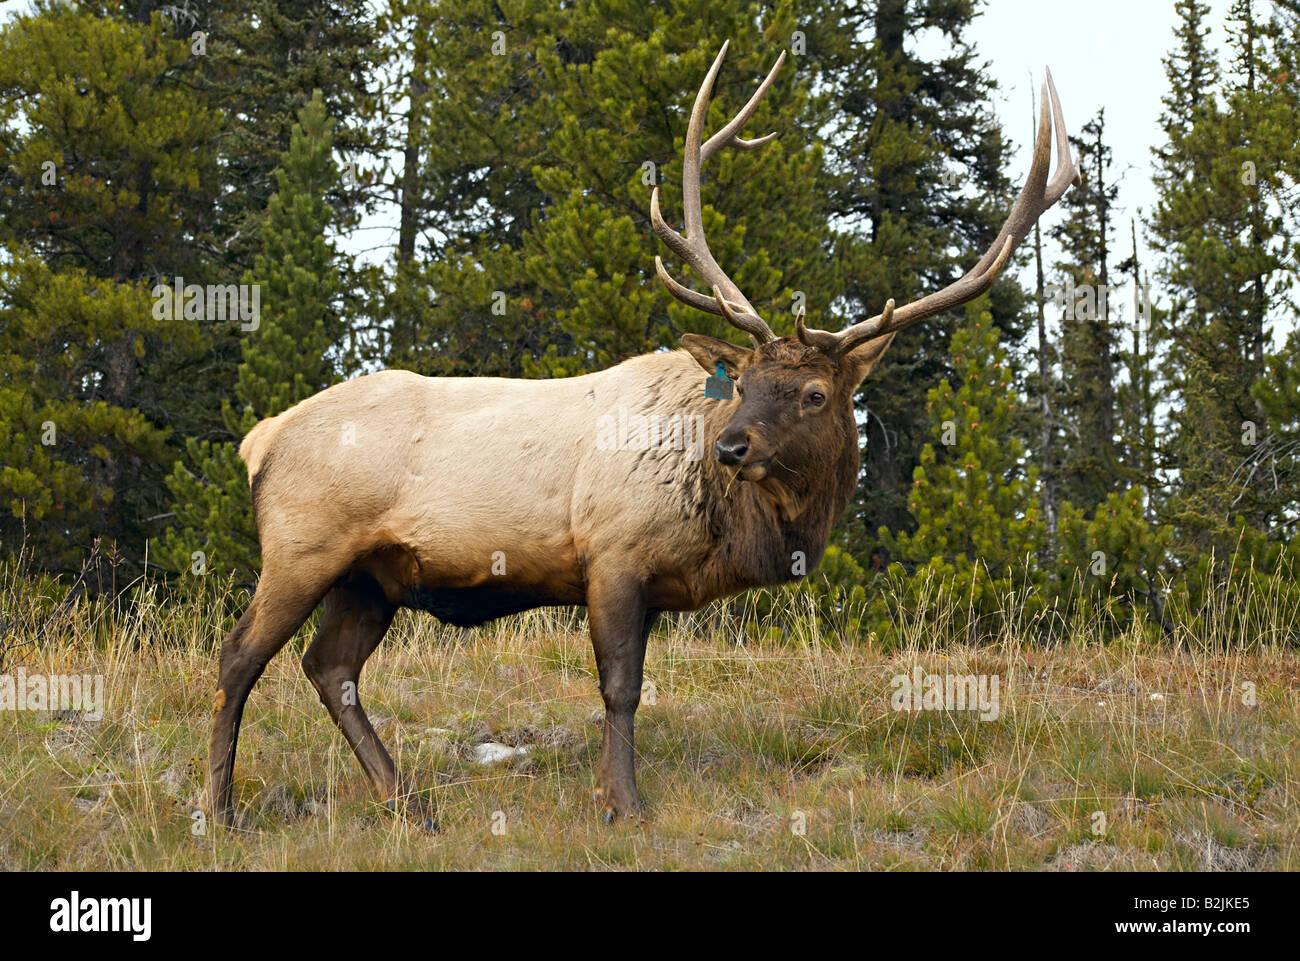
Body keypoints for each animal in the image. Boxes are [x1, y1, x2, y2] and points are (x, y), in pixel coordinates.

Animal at [207, 41, 1079, 827]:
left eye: (813, 391)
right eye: (744, 385)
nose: (733, 448)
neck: (738, 524)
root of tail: (261, 438)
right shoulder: (613, 553)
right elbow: (620, 689)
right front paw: (624, 804)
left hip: (371, 575)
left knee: (331, 668)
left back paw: (409, 804)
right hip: (304, 546)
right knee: (240, 655)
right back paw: (220, 810)